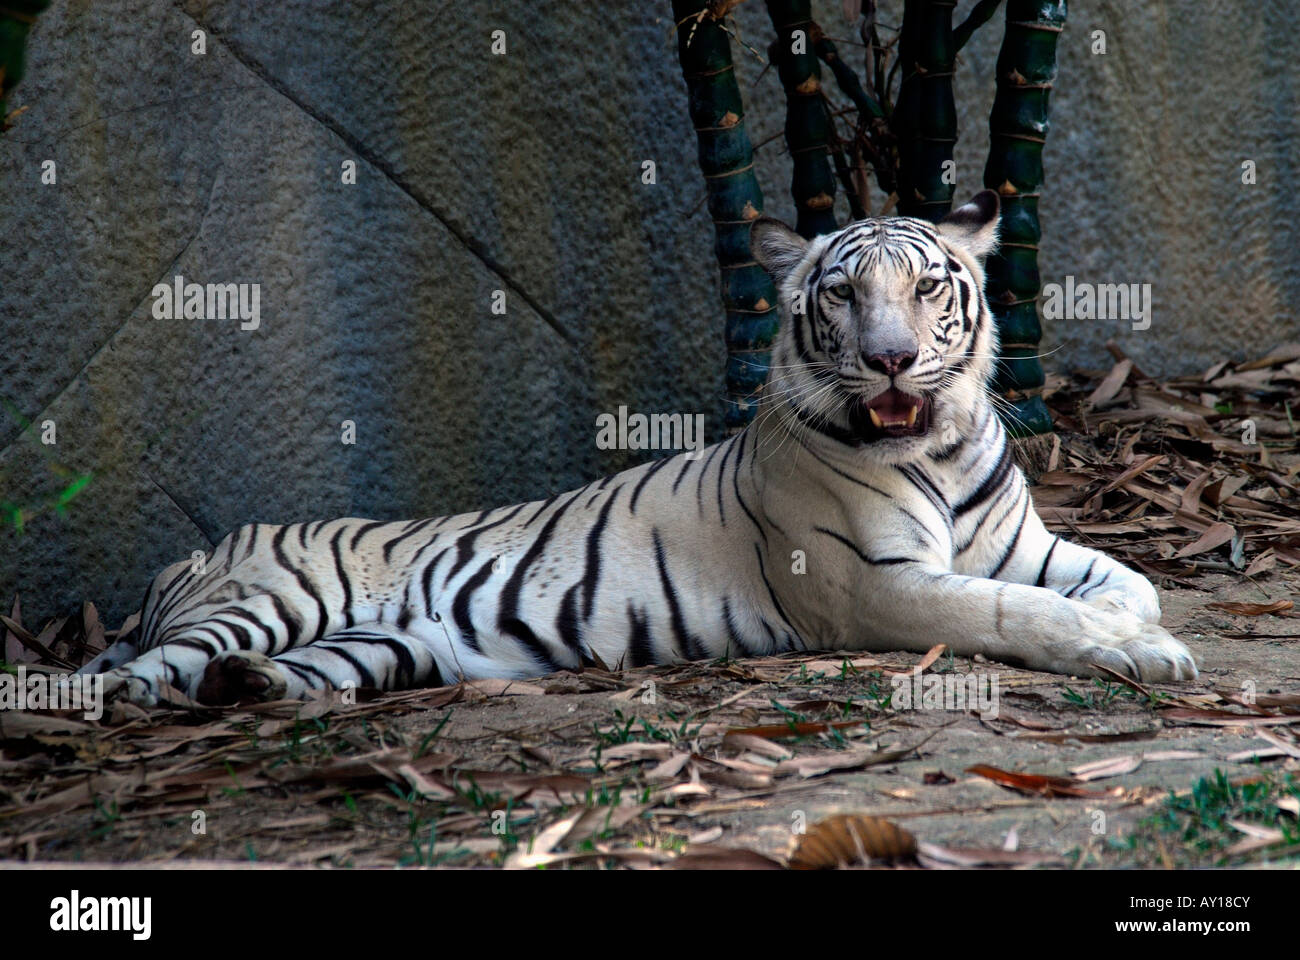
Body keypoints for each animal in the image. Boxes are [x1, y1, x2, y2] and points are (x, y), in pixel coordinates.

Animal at [78, 190, 1197, 707]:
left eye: (926, 287)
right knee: (130, 680)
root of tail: (188, 557)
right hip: (262, 604)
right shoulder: (874, 586)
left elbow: (1127, 582)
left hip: (382, 644)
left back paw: (250, 690)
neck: (945, 447)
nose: (891, 360)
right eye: (842, 294)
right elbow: (1018, 613)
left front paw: (1135, 627)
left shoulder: (1025, 547)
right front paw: (1140, 652)